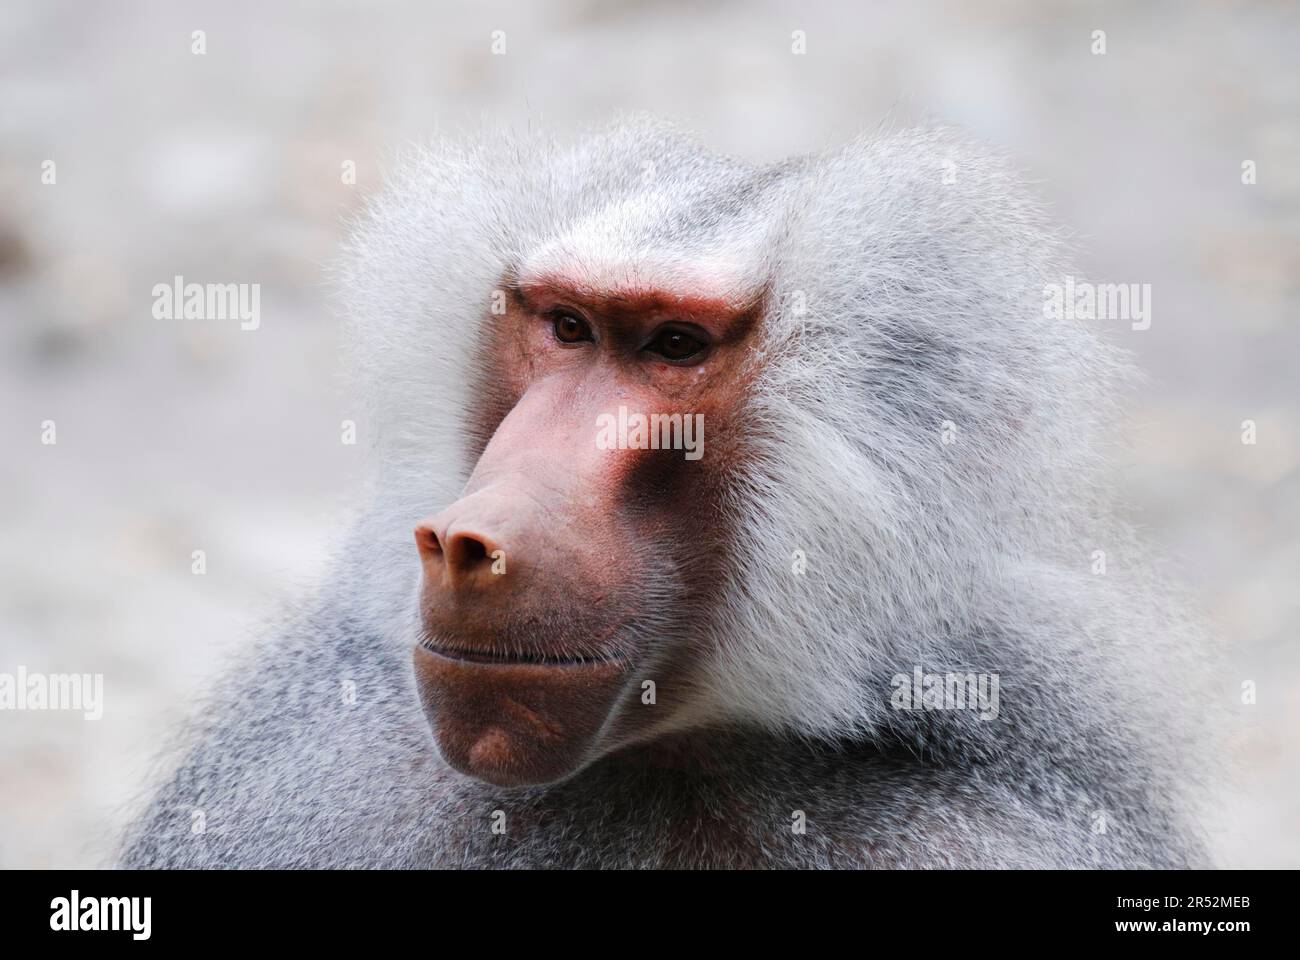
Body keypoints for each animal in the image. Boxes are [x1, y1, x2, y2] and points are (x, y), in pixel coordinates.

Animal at [118, 116, 1215, 869]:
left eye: (674, 346)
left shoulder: (992, 820)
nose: (471, 542)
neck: (682, 753)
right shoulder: (319, 778)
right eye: (566, 327)